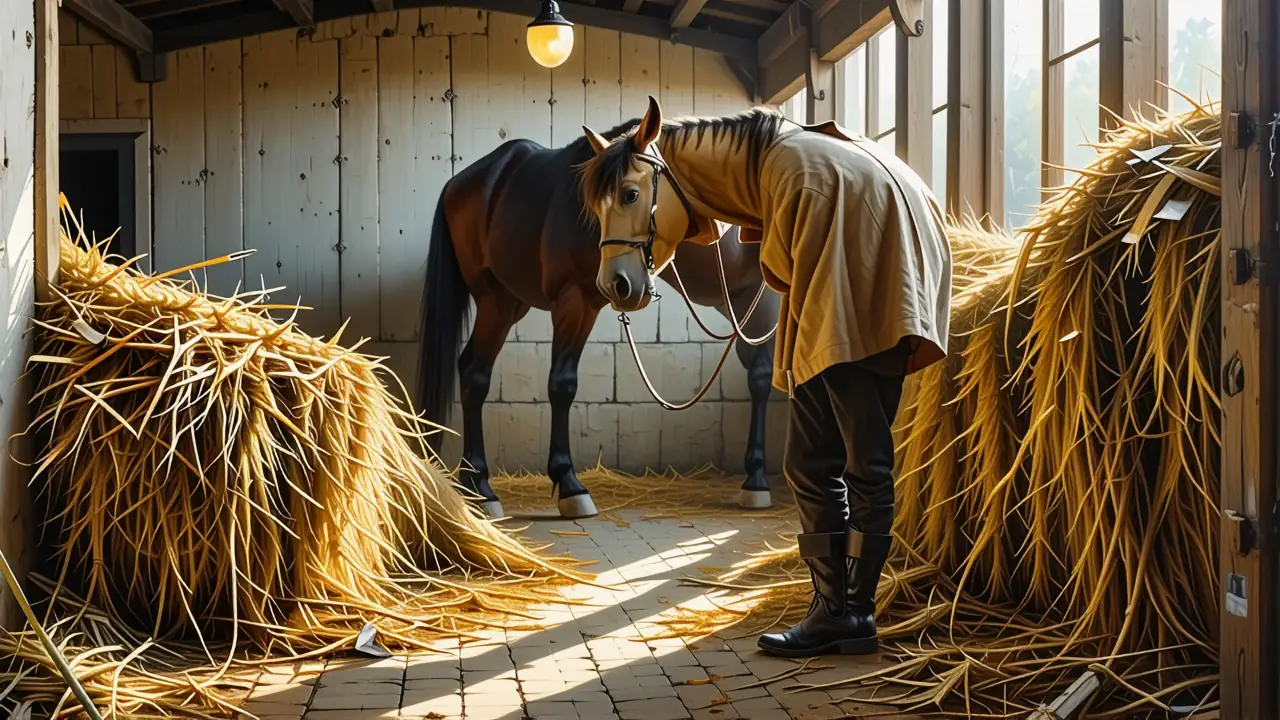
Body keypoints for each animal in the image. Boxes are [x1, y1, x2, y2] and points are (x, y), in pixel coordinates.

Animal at [415, 120, 781, 520]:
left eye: (631, 195)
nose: (618, 283)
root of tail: (459, 184)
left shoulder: (755, 303)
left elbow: (760, 376)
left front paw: (756, 479)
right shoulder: (575, 301)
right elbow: (561, 384)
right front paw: (570, 485)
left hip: (511, 302)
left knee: (471, 369)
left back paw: (473, 483)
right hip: (494, 300)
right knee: (475, 375)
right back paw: (481, 488)